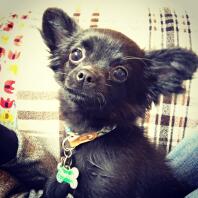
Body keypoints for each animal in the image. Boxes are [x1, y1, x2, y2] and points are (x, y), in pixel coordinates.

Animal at [41, 8, 198, 198]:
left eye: (120, 73)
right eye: (76, 54)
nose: (85, 76)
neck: (89, 134)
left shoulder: (104, 188)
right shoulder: (57, 182)